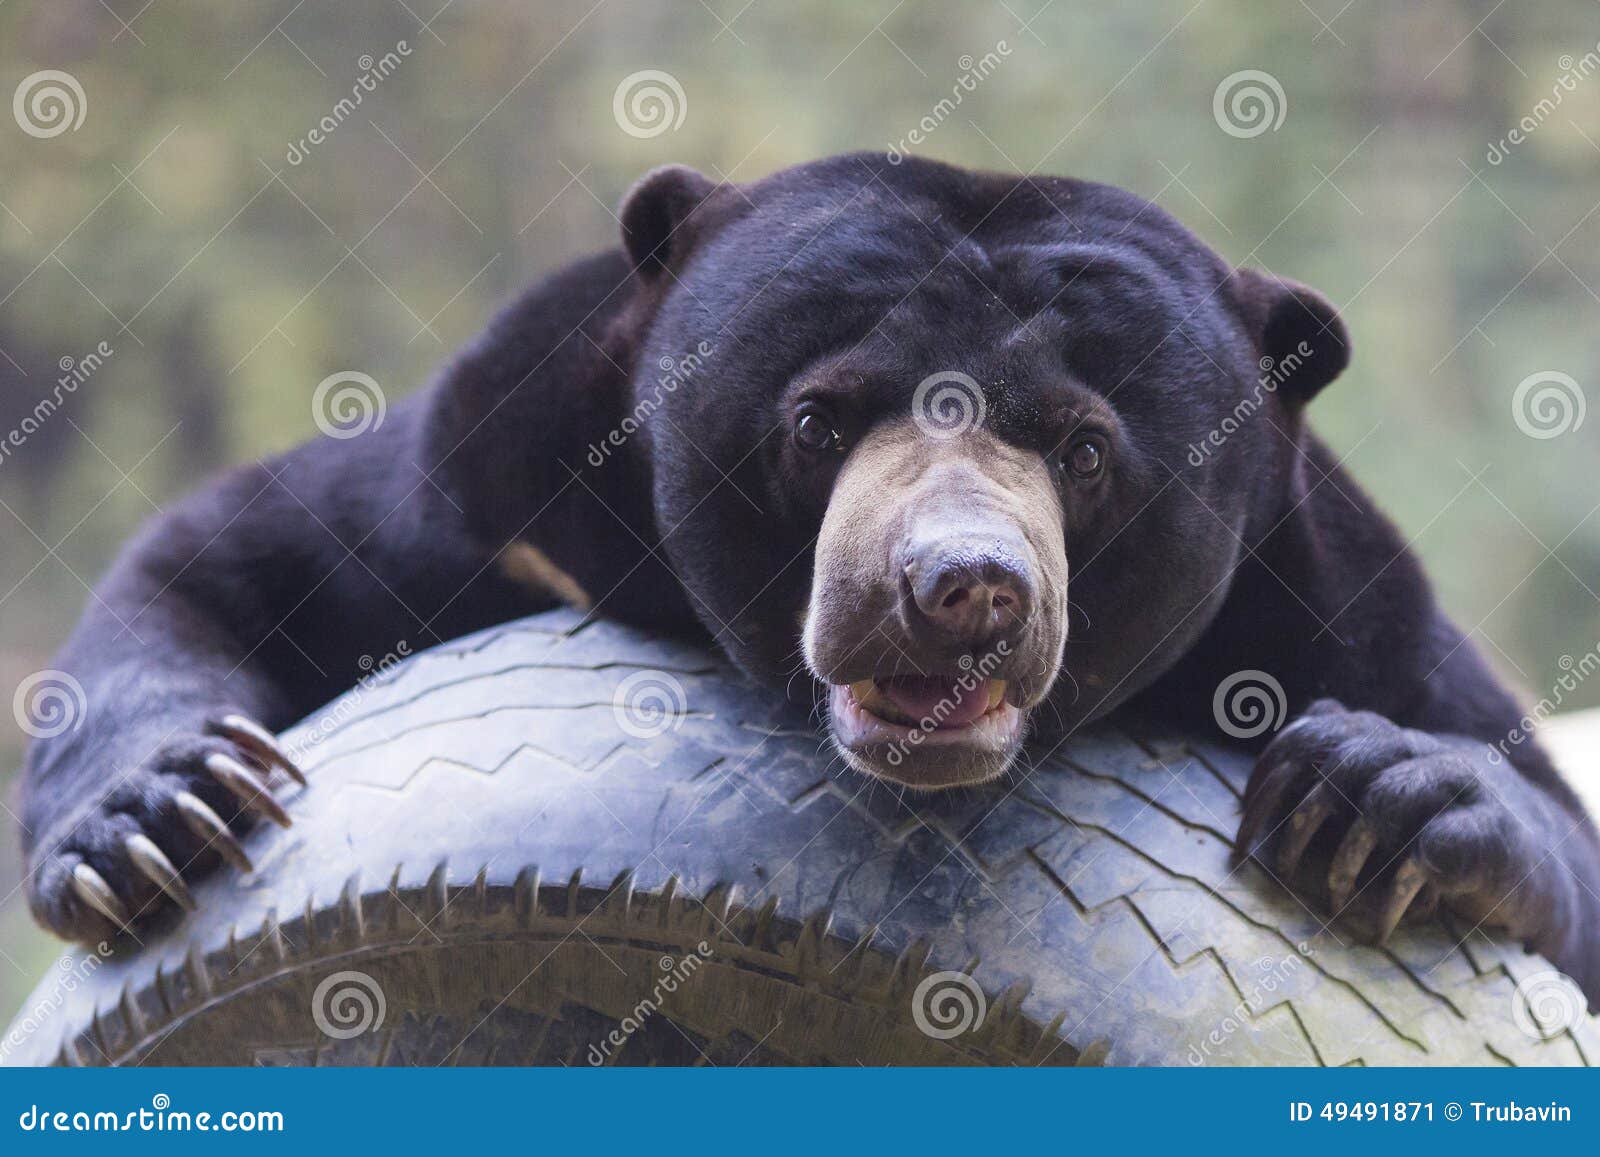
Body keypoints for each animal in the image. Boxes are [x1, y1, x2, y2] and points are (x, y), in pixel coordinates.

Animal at [17, 152, 1600, 1005]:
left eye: (1084, 451)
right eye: (819, 420)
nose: (962, 589)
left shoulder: (1325, 595)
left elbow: (1531, 811)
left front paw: (1373, 800)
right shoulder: (496, 486)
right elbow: (238, 560)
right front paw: (158, 822)